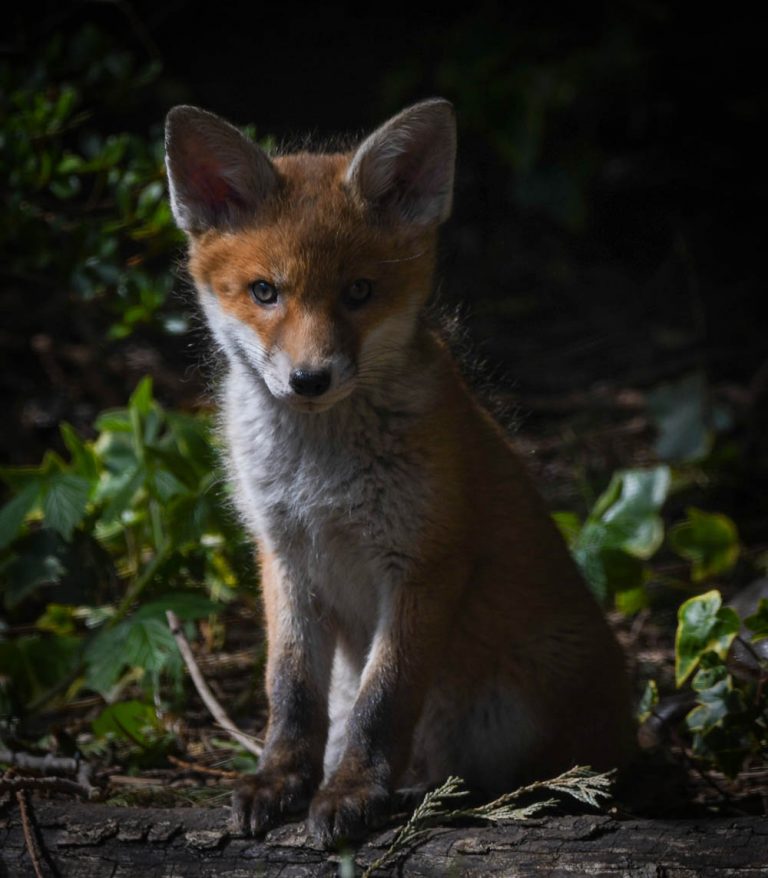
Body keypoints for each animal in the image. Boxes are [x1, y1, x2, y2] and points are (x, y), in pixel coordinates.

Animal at [164, 98, 634, 846]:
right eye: (265, 292)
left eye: (359, 292)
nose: (309, 379)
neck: (320, 477)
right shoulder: (284, 553)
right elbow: (290, 693)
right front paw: (280, 780)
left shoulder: (422, 561)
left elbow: (384, 702)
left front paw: (353, 792)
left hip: (530, 699)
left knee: (541, 778)